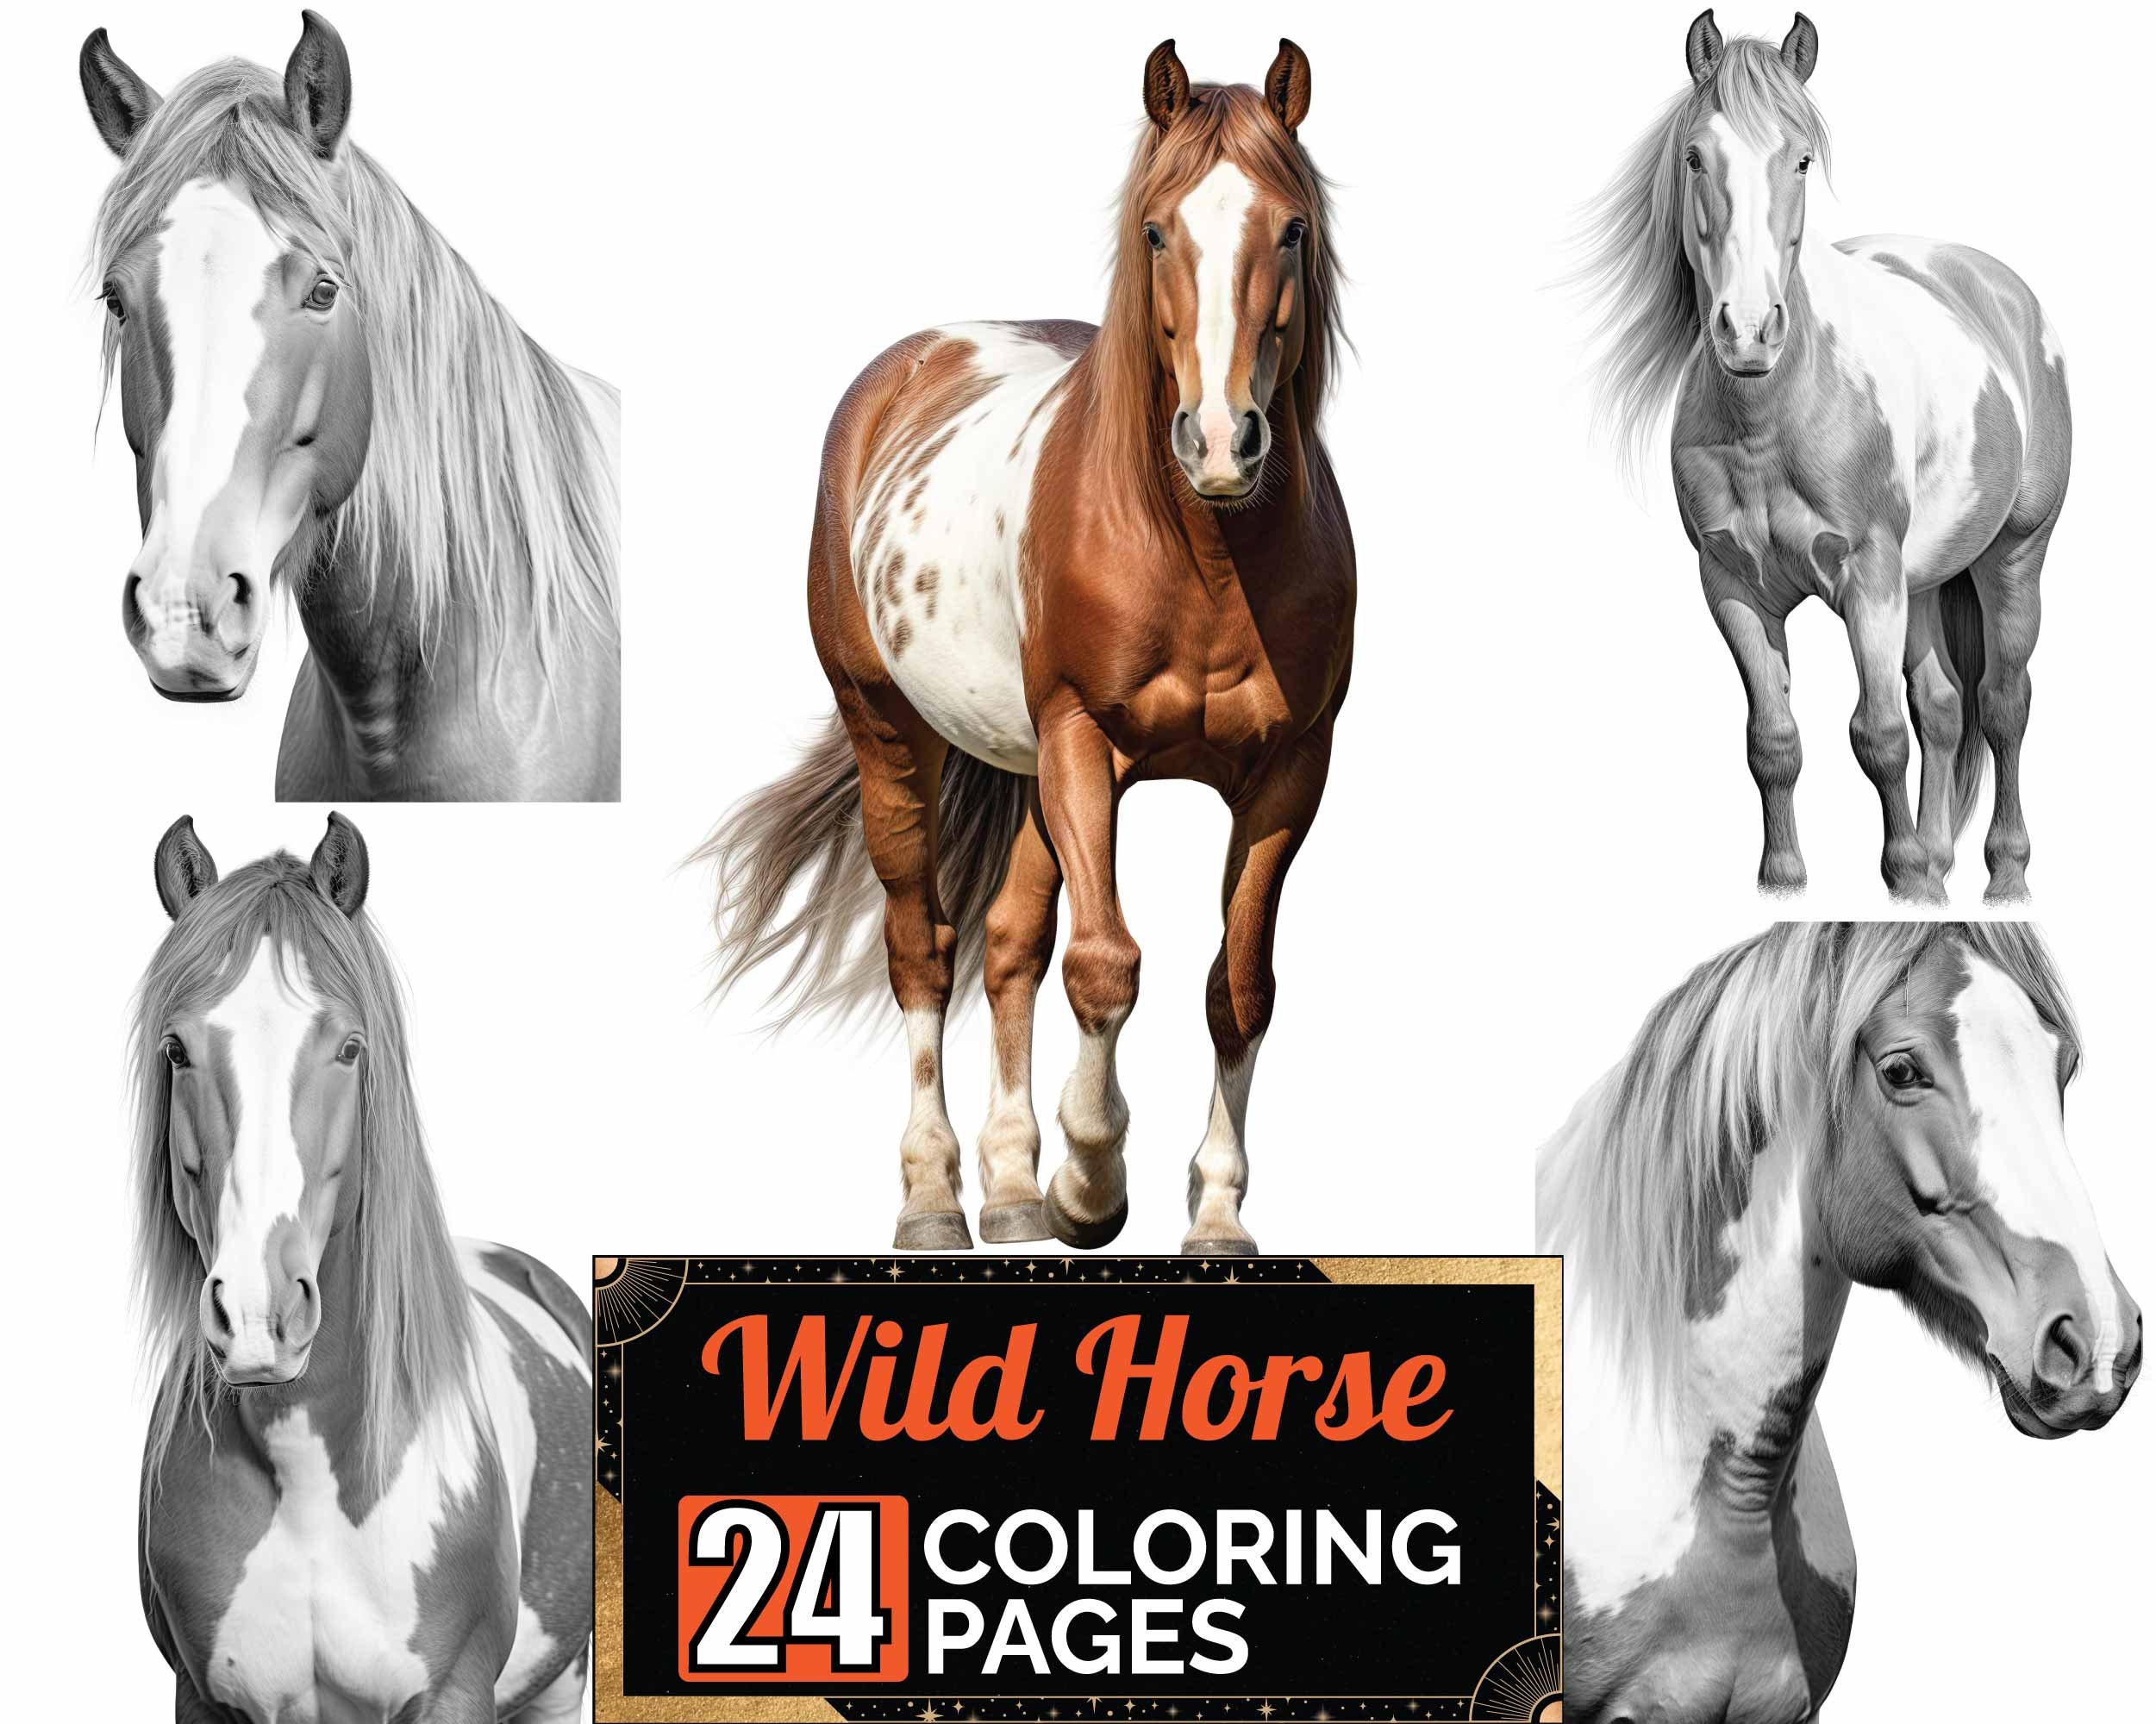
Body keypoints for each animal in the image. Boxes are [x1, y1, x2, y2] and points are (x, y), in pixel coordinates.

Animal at [696, 40, 1352, 1257]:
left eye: (1291, 228)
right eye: (1156, 229)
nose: (1222, 441)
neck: (1198, 551)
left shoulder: (1290, 769)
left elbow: (1235, 985)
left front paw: (1214, 1209)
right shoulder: (1082, 739)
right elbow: (1104, 963)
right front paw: (1092, 1182)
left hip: (1026, 766)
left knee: (1006, 940)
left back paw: (1007, 1187)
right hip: (893, 733)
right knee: (925, 944)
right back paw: (931, 1197)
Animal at [1578, 12, 2070, 903]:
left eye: (1801, 157)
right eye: (1695, 157)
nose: (1746, 332)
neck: (1770, 421)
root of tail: (1994, 287)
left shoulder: (1867, 579)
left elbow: (1877, 734)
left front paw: (1900, 875)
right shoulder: (1732, 585)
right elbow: (1773, 740)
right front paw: (1786, 882)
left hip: (2014, 555)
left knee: (2003, 702)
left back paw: (2003, 876)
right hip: (1924, 577)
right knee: (1944, 705)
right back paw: (1939, 871)